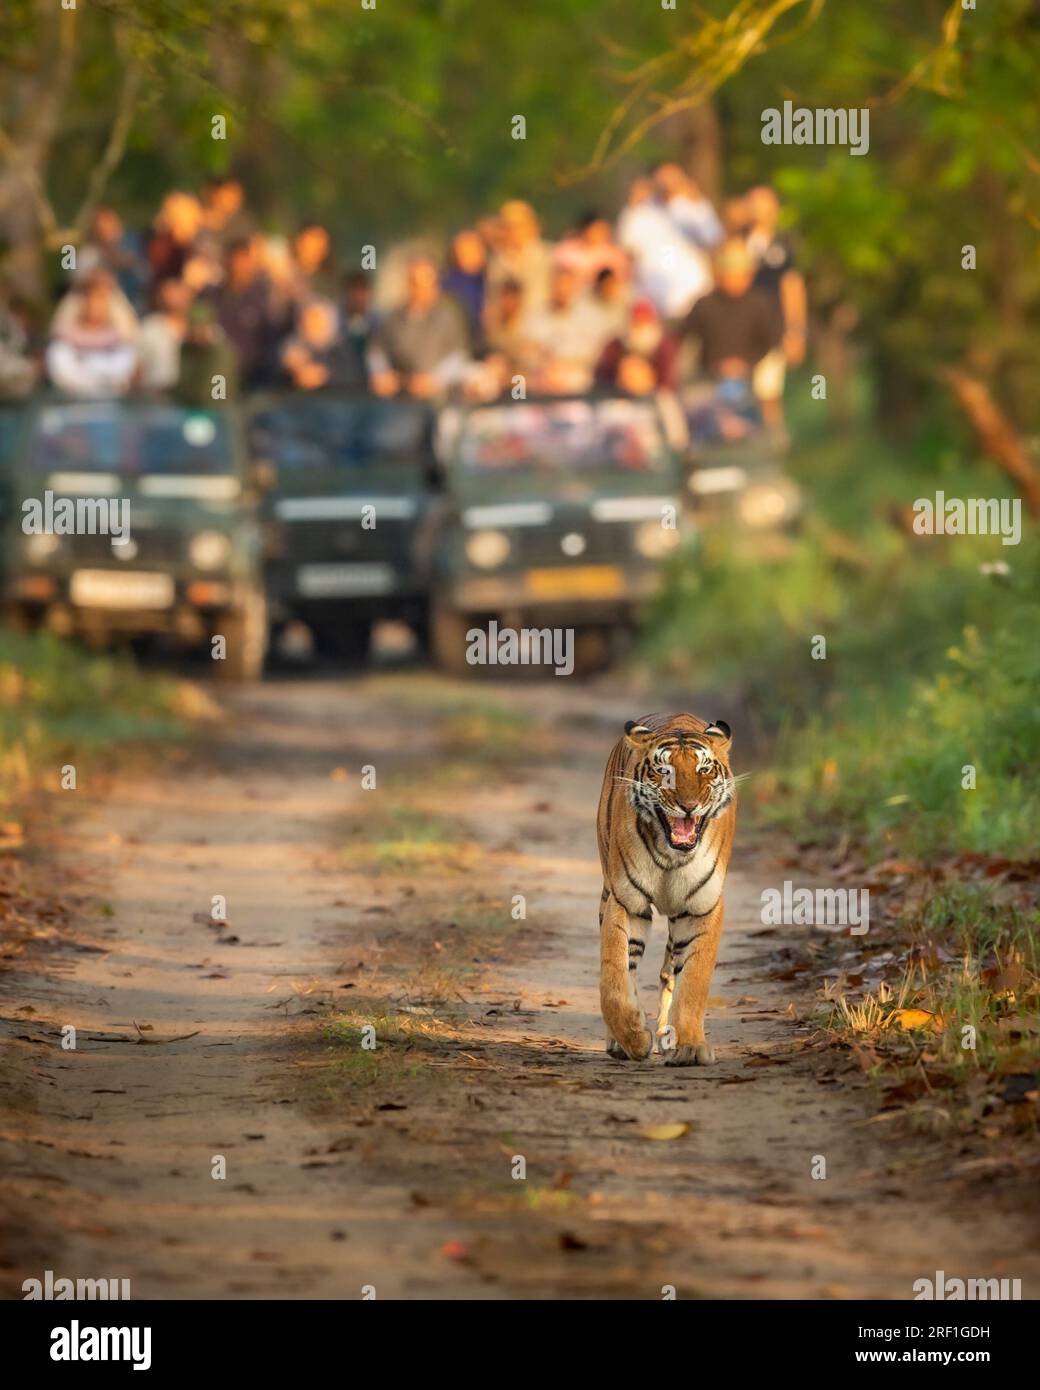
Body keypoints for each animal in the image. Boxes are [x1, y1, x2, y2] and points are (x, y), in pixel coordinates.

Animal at [596, 712, 737, 1065]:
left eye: (704, 769)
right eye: (664, 771)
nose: (688, 805)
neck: (672, 855)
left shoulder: (702, 907)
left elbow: (693, 979)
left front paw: (689, 1046)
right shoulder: (626, 901)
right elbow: (614, 977)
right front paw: (632, 1037)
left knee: (670, 972)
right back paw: (620, 1040)